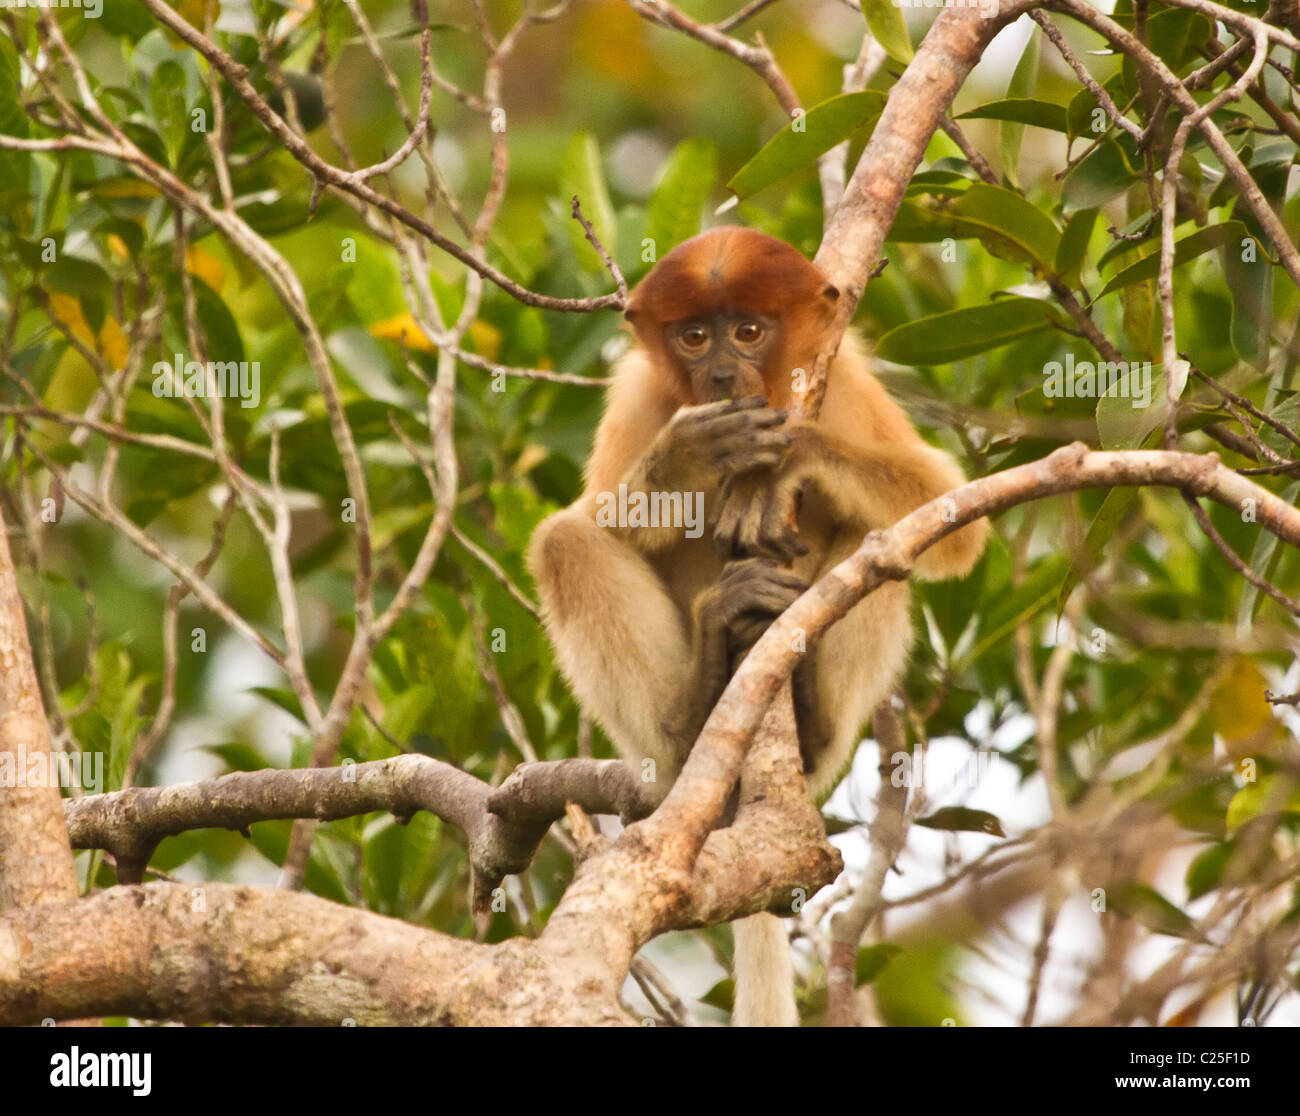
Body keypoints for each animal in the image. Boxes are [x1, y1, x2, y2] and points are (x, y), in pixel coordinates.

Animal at [526, 227, 988, 1025]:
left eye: (748, 332)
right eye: (693, 336)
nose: (719, 374)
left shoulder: (846, 383)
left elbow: (954, 518)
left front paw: (787, 462)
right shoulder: (641, 394)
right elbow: (598, 516)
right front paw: (687, 458)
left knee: (882, 545)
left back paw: (807, 714)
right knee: (565, 541)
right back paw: (695, 704)